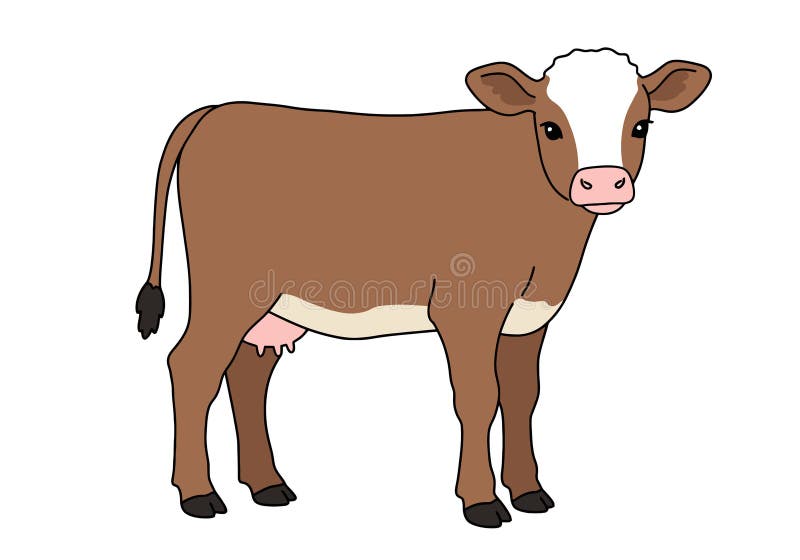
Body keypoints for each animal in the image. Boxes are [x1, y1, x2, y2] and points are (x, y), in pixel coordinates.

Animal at [136, 48, 710, 527]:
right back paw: (198, 495)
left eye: (642, 124)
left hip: (271, 305)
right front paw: (481, 501)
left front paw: (529, 492)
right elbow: (479, 397)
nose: (604, 182)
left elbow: (522, 396)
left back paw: (267, 486)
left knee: (247, 375)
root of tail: (218, 109)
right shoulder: (467, 308)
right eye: (550, 126)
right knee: (192, 368)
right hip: (226, 288)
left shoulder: (529, 315)